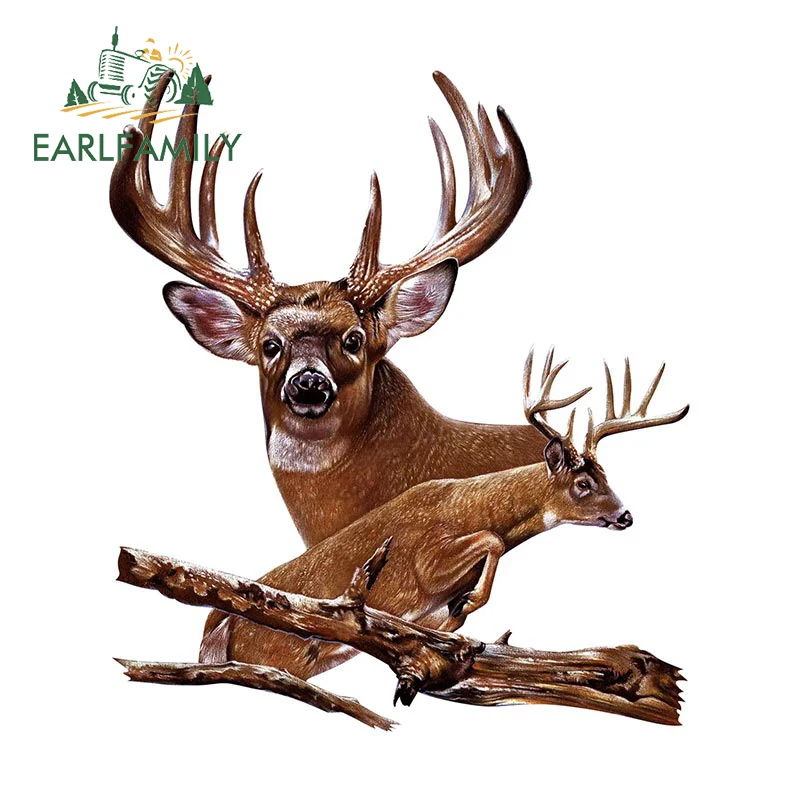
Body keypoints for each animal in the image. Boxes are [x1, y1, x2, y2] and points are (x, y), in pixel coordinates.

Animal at [199, 349, 689, 676]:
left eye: (606, 474)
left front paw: (461, 615)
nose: (626, 515)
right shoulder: (425, 559)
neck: (470, 504)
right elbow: (490, 540)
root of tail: (211, 630)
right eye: (583, 484)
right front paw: (468, 601)